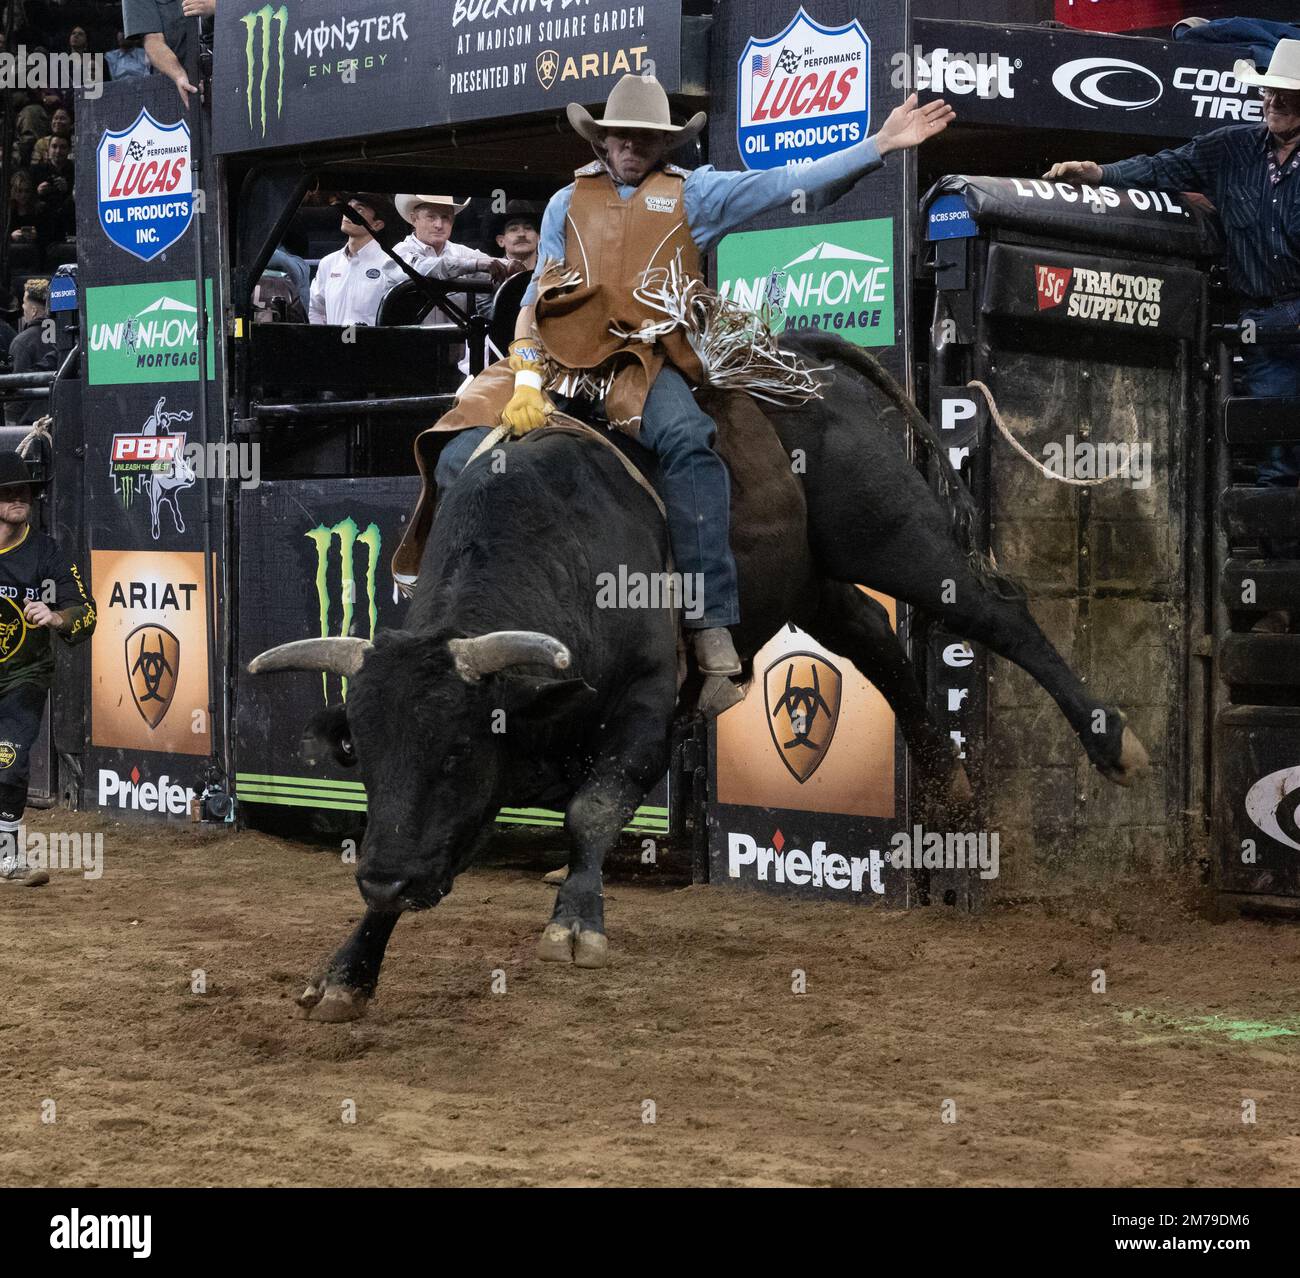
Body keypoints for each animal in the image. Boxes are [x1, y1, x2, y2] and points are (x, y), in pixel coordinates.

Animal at [250, 332, 1148, 1021]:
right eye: (365, 758)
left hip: (893, 532)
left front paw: (576, 922)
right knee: (873, 640)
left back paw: (1113, 744)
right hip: (807, 580)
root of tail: (792, 362)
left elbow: (591, 810)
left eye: (453, 754)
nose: (383, 874)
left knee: (997, 613)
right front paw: (347, 970)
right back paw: (951, 788)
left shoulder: (648, 706)